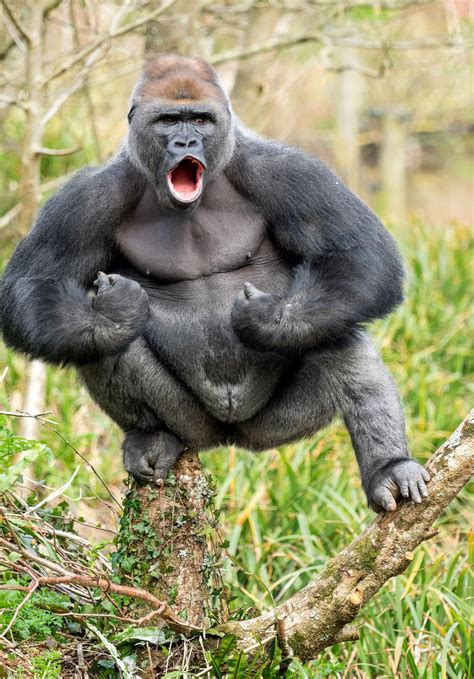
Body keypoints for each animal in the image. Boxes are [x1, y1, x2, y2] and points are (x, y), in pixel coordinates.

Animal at [0, 54, 429, 512]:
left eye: (201, 120)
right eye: (169, 120)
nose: (186, 143)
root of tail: (230, 437)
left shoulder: (289, 171)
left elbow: (360, 256)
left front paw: (269, 319)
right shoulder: (88, 196)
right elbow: (32, 286)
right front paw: (113, 314)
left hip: (275, 427)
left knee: (336, 328)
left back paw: (389, 466)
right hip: (193, 427)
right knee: (102, 344)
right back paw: (150, 432)